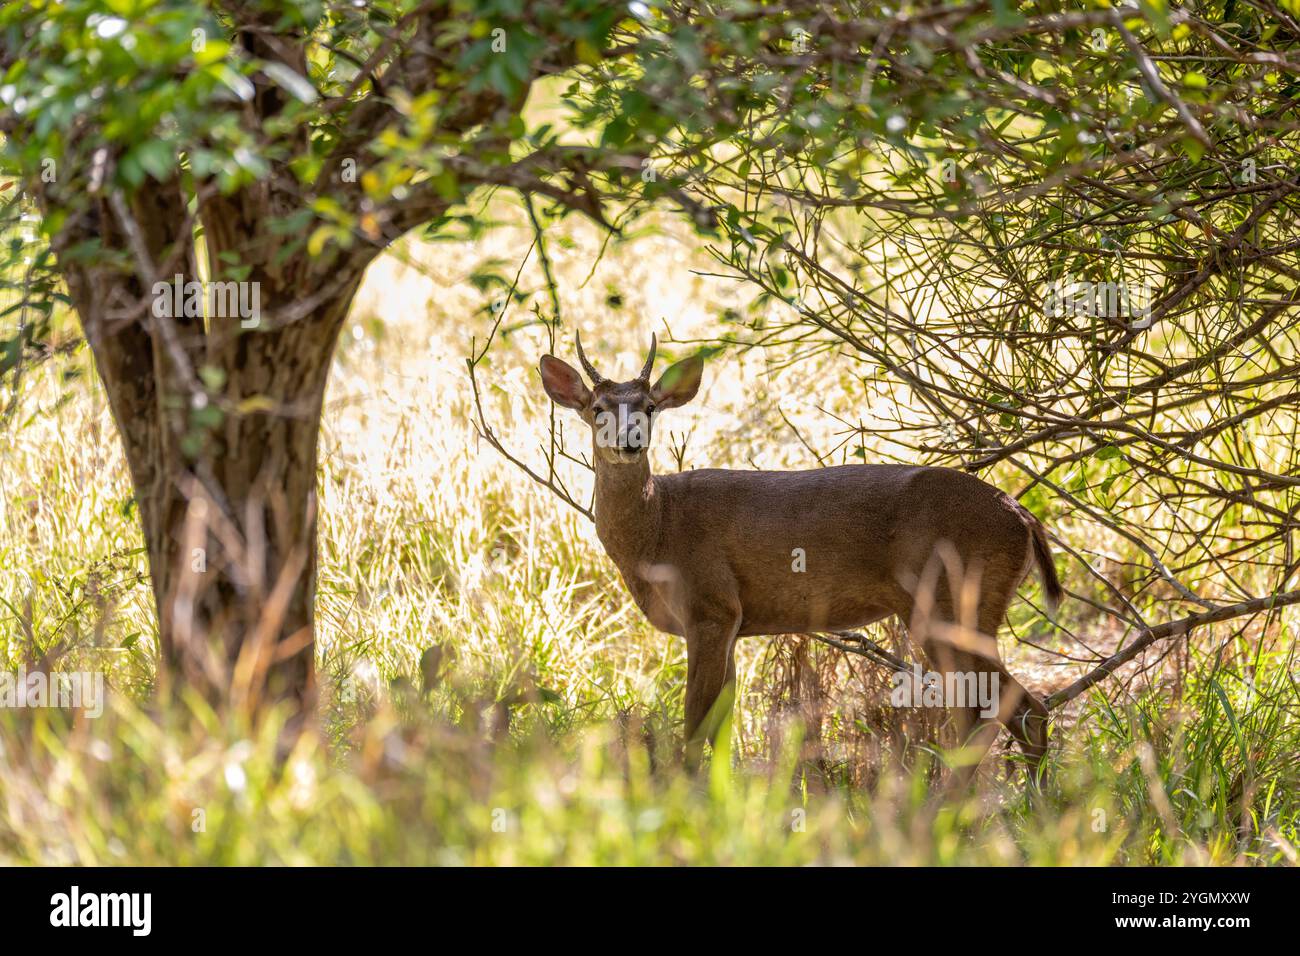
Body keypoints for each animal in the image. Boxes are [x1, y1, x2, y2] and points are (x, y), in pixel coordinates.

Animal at [538, 334, 1061, 777]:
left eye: (649, 407)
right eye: (598, 407)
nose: (629, 440)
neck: (657, 528)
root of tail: (1022, 516)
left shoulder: (710, 606)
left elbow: (693, 723)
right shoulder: (733, 622)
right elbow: (721, 726)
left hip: (949, 600)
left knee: (1002, 710)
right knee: (1011, 710)